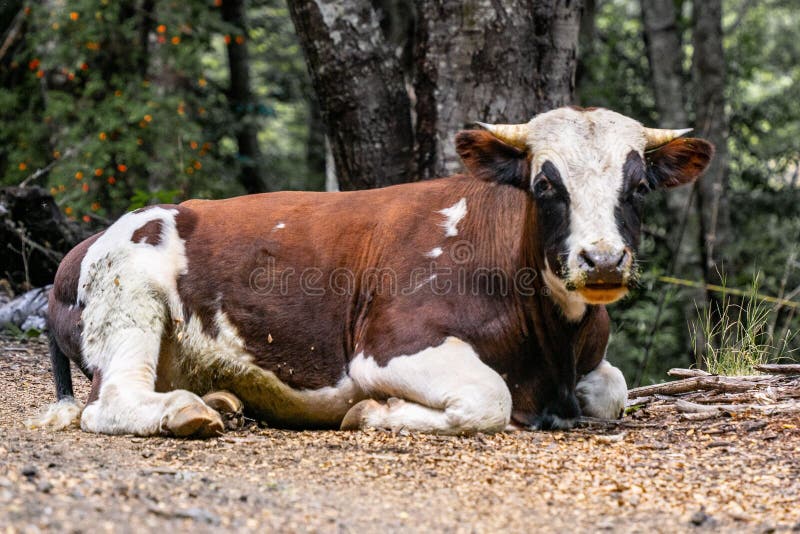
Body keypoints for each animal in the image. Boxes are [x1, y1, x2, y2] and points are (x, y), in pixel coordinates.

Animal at [28, 107, 713, 437]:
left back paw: (219, 397)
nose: (602, 260)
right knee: (110, 401)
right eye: (546, 184)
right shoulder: (390, 345)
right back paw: (185, 412)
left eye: (640, 186)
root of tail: (86, 242)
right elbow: (487, 397)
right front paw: (373, 414)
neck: (552, 347)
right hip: (130, 301)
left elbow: (613, 390)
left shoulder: (592, 365)